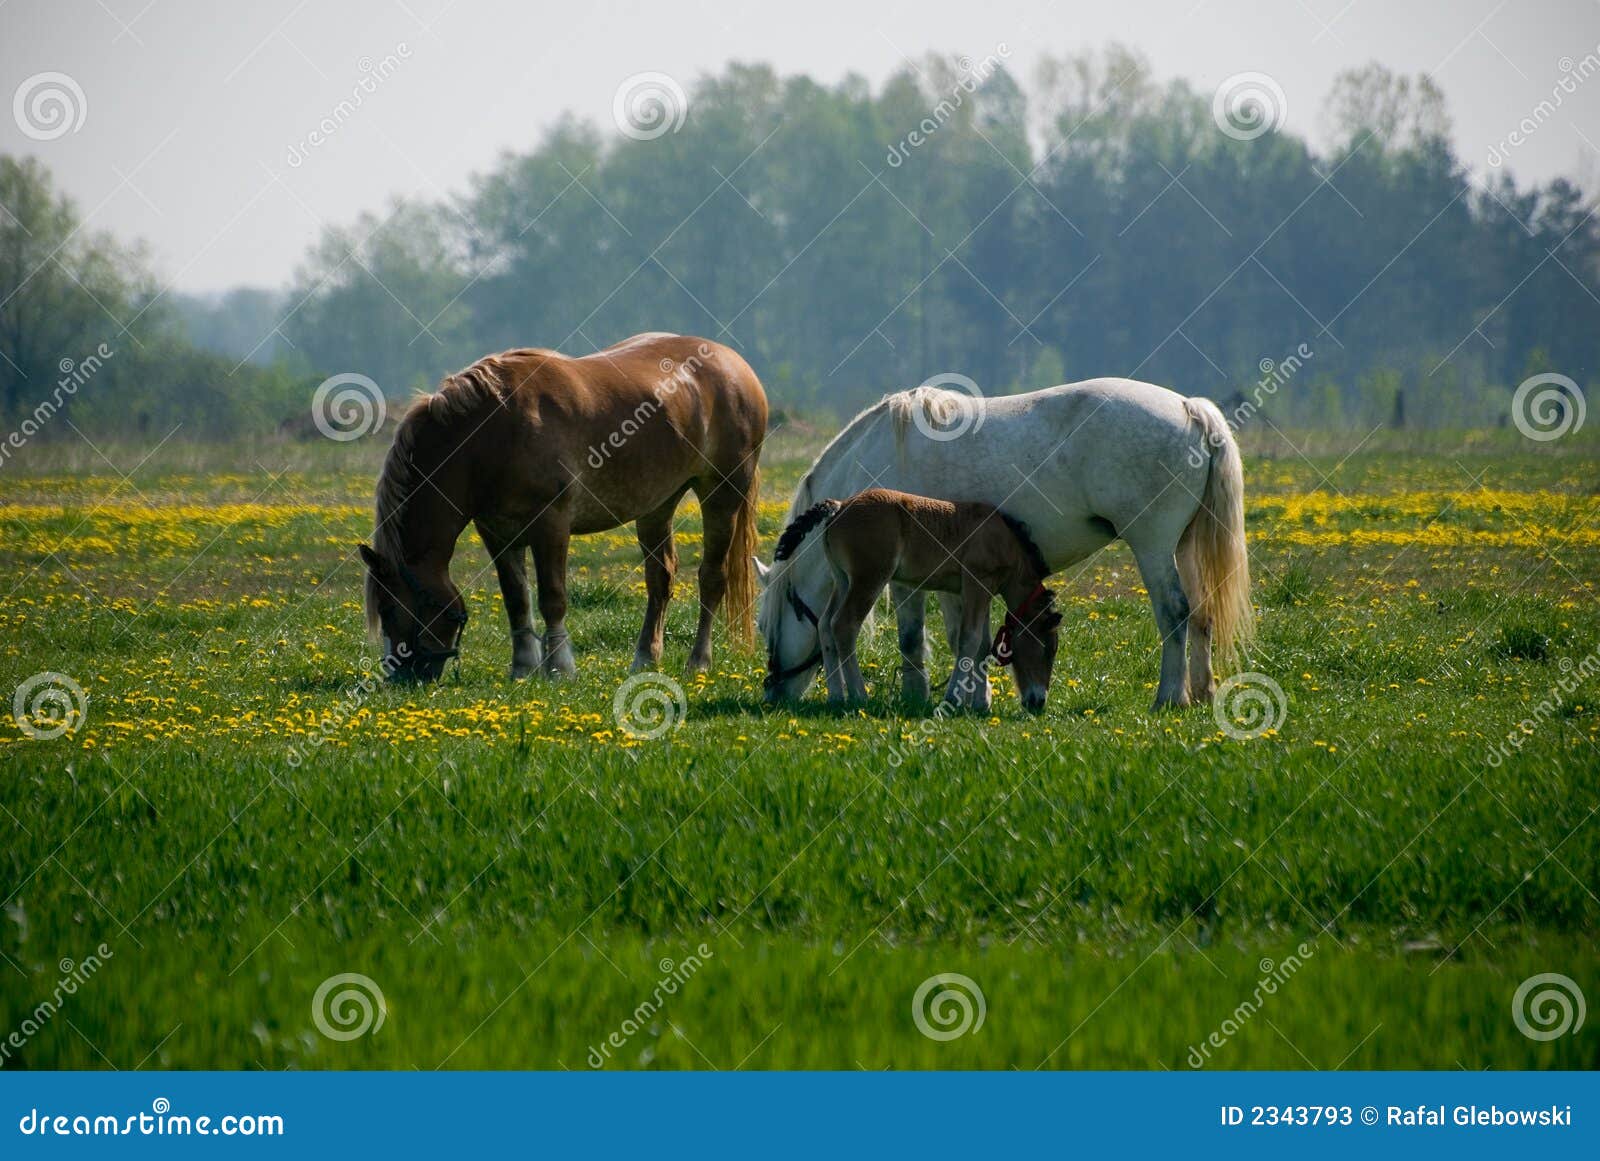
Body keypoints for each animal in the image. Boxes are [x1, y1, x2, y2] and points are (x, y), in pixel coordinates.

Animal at [360, 333, 767, 682]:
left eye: (391, 608)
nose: (400, 678)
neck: (491, 432)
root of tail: (736, 366)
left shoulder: (551, 525)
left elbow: (552, 598)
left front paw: (559, 668)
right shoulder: (497, 532)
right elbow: (516, 599)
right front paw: (523, 667)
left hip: (722, 494)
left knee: (711, 578)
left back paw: (698, 661)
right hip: (658, 504)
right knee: (660, 578)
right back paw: (645, 658)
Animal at [773, 488, 1063, 712]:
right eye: (1047, 648)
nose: (1038, 702)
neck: (1003, 538)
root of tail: (841, 506)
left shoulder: (982, 591)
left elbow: (981, 643)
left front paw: (978, 704)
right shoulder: (976, 583)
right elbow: (969, 640)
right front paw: (952, 699)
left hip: (843, 580)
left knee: (825, 625)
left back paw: (835, 696)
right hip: (869, 578)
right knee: (844, 625)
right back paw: (859, 695)